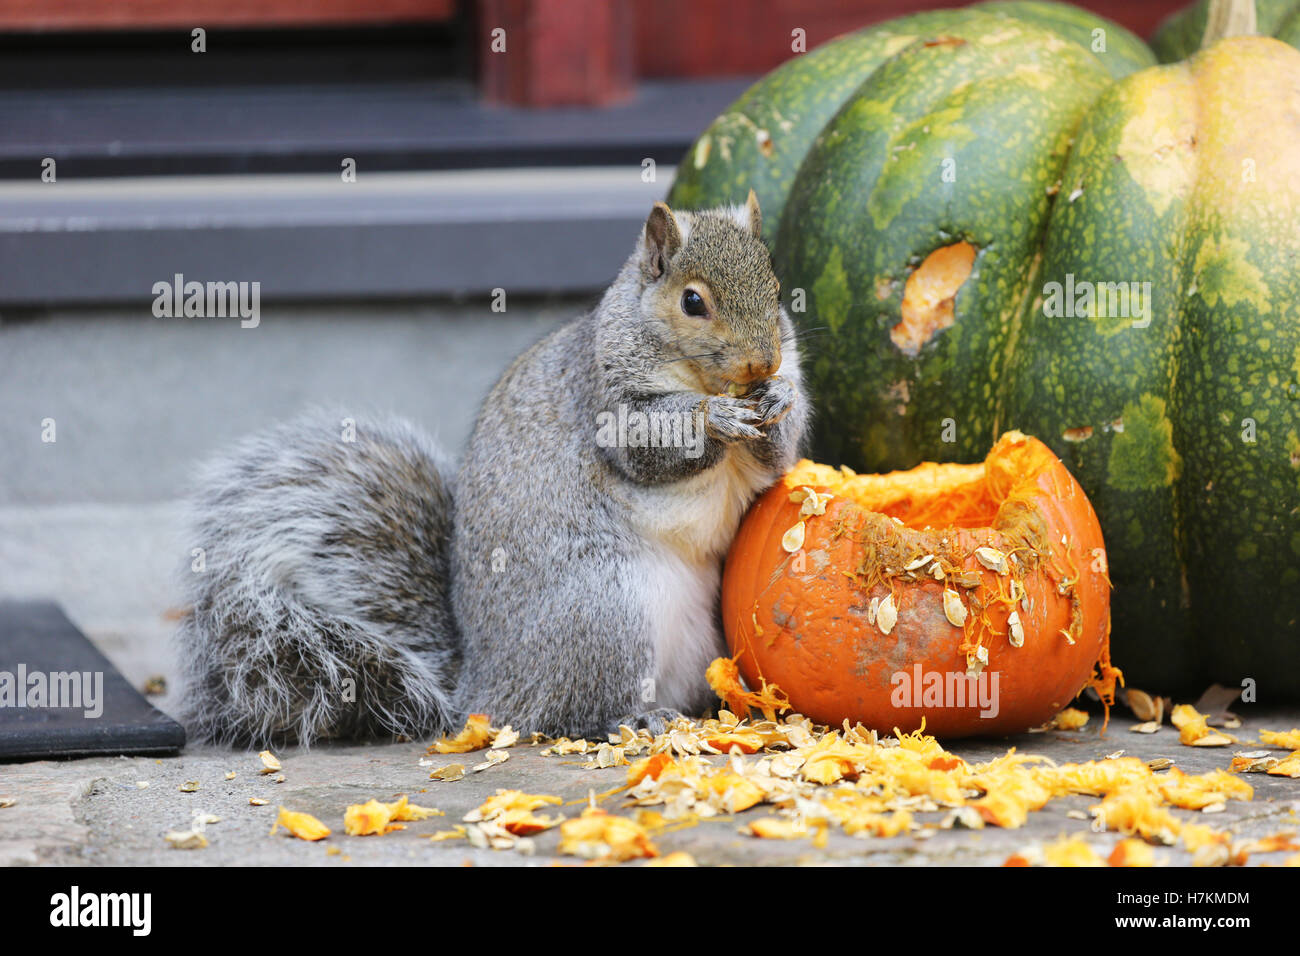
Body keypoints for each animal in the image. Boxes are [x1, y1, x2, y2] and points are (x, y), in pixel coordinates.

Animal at [175, 191, 809, 746]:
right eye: (692, 302)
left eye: (777, 288)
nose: (763, 362)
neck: (696, 376)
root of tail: (483, 687)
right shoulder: (606, 400)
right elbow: (647, 449)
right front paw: (716, 417)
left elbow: (777, 455)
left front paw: (778, 399)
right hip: (606, 610)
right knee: (573, 711)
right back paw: (631, 717)